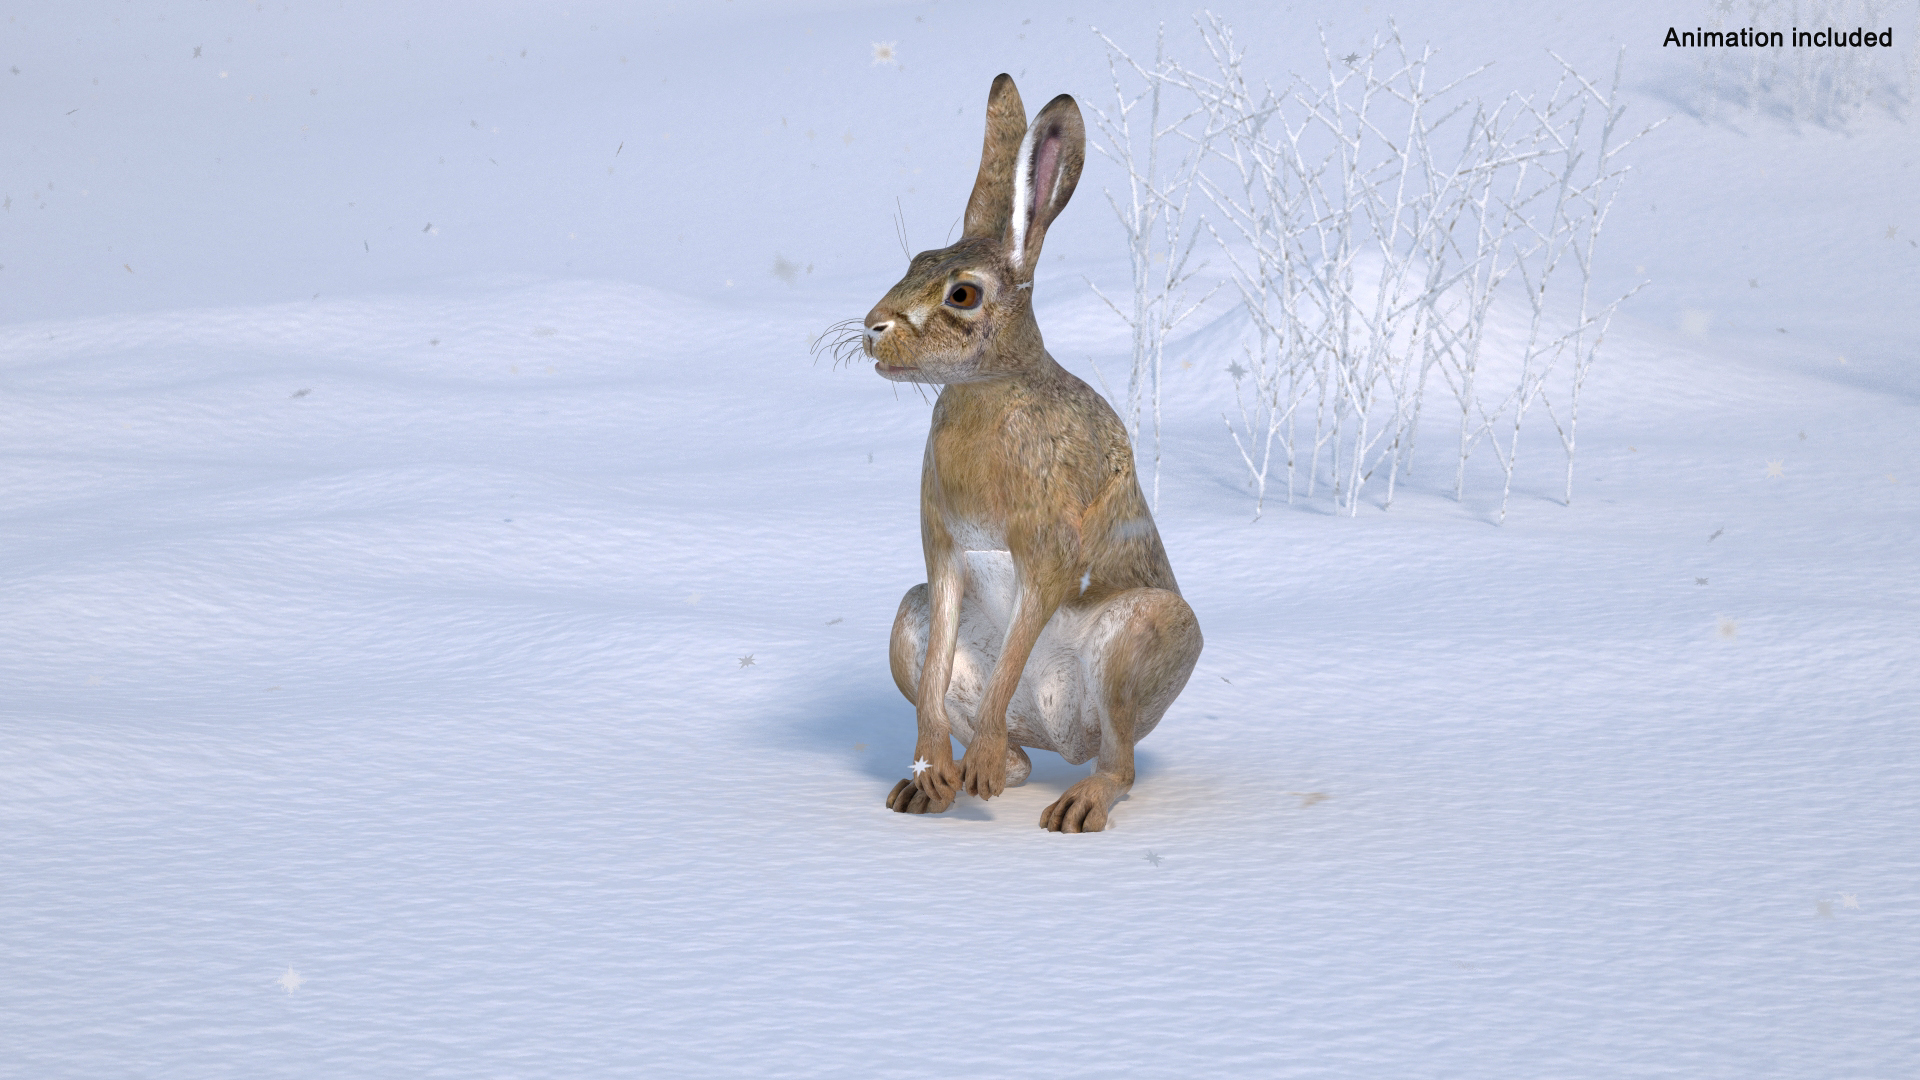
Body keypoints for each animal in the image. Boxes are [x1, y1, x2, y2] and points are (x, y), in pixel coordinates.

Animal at [851, 74, 1203, 832]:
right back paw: (939, 784)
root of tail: (1058, 737)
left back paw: (1065, 803)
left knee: (1119, 761)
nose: (872, 329)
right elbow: (940, 649)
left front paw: (971, 767)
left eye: (962, 294)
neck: (990, 390)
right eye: (914, 262)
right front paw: (934, 769)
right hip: (905, 624)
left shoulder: (1047, 546)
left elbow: (1034, 608)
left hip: (1143, 639)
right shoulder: (944, 551)